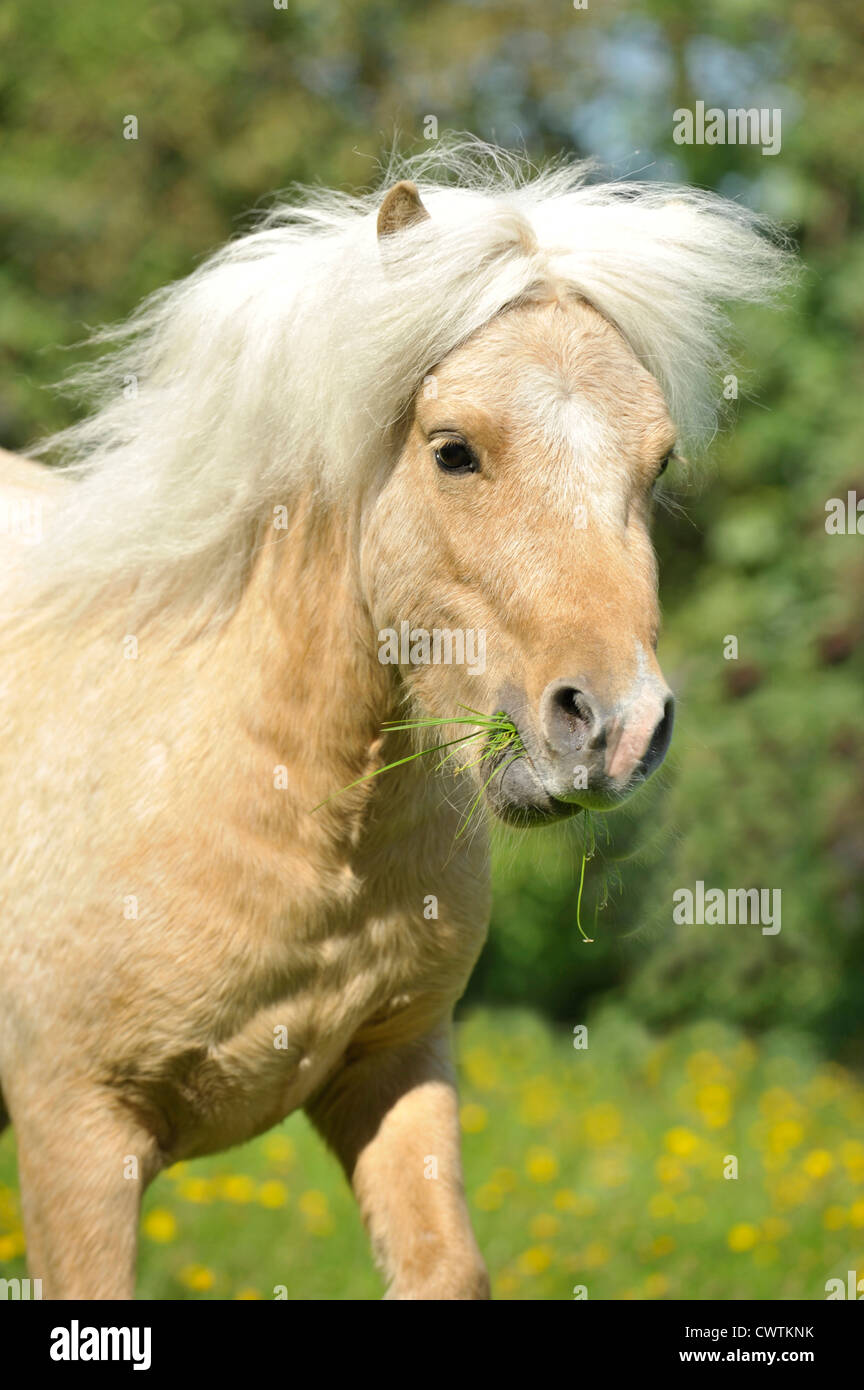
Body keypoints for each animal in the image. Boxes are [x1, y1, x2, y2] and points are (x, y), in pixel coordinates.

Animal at [0, 144, 790, 1299]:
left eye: (658, 464)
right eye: (453, 450)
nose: (616, 728)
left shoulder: (396, 1070)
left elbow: (442, 1266)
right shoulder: (78, 1134)